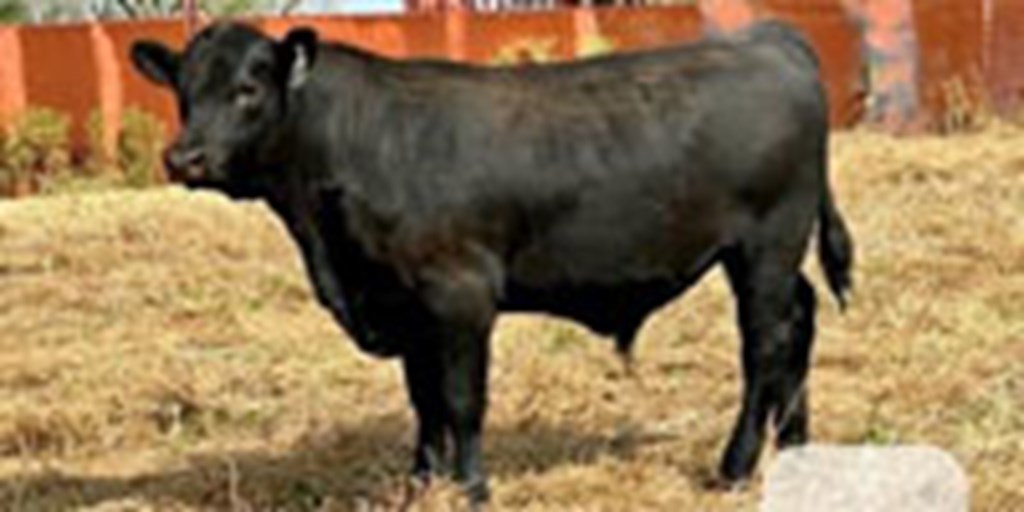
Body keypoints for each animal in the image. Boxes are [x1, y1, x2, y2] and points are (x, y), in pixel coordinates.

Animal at [131, 20, 853, 506]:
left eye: (249, 88)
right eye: (183, 91)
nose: (184, 158)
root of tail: (766, 37)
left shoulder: (460, 294)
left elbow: (461, 399)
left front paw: (473, 487)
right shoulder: (403, 304)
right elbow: (423, 403)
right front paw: (421, 485)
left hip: (766, 245)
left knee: (766, 347)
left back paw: (734, 467)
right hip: (771, 255)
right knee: (801, 322)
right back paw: (796, 447)